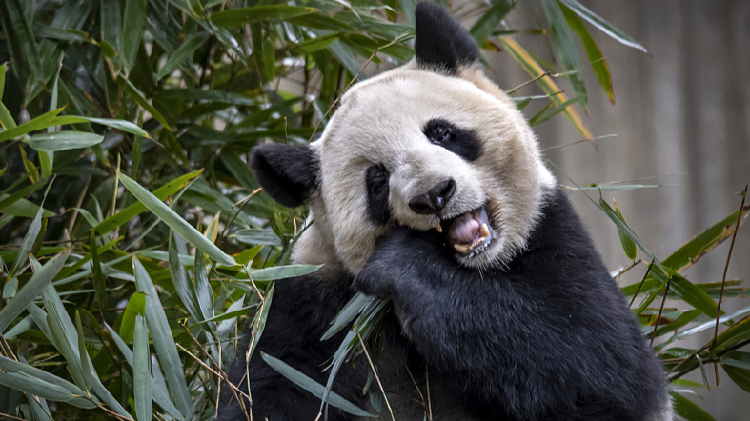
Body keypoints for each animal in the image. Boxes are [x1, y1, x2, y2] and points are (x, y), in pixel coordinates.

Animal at [218, 3, 673, 421]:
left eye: (441, 133)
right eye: (377, 180)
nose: (434, 194)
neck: (472, 273)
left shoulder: (557, 241)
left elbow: (601, 368)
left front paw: (404, 265)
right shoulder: (309, 301)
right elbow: (276, 385)